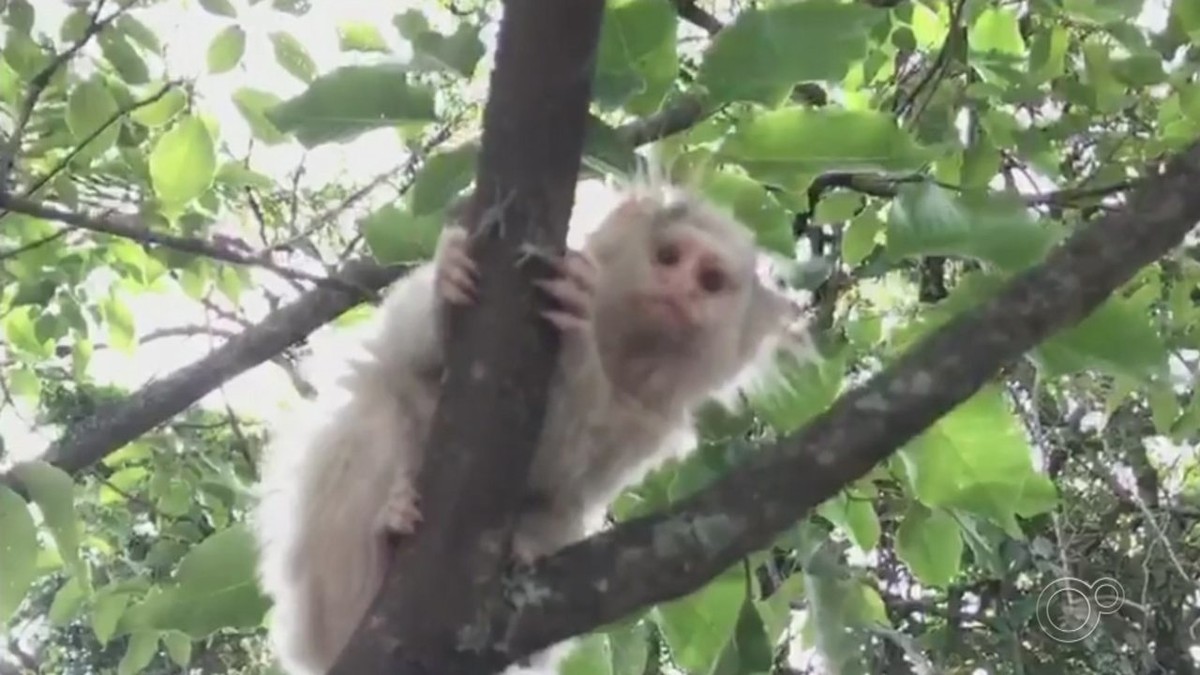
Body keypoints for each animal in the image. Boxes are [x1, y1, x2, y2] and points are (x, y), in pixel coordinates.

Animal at [251, 180, 806, 675]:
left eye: (710, 281)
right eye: (668, 257)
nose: (680, 291)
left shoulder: (650, 419)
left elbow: (563, 473)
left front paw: (575, 331)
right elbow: (408, 352)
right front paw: (449, 289)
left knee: (563, 512)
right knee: (372, 418)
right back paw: (387, 533)